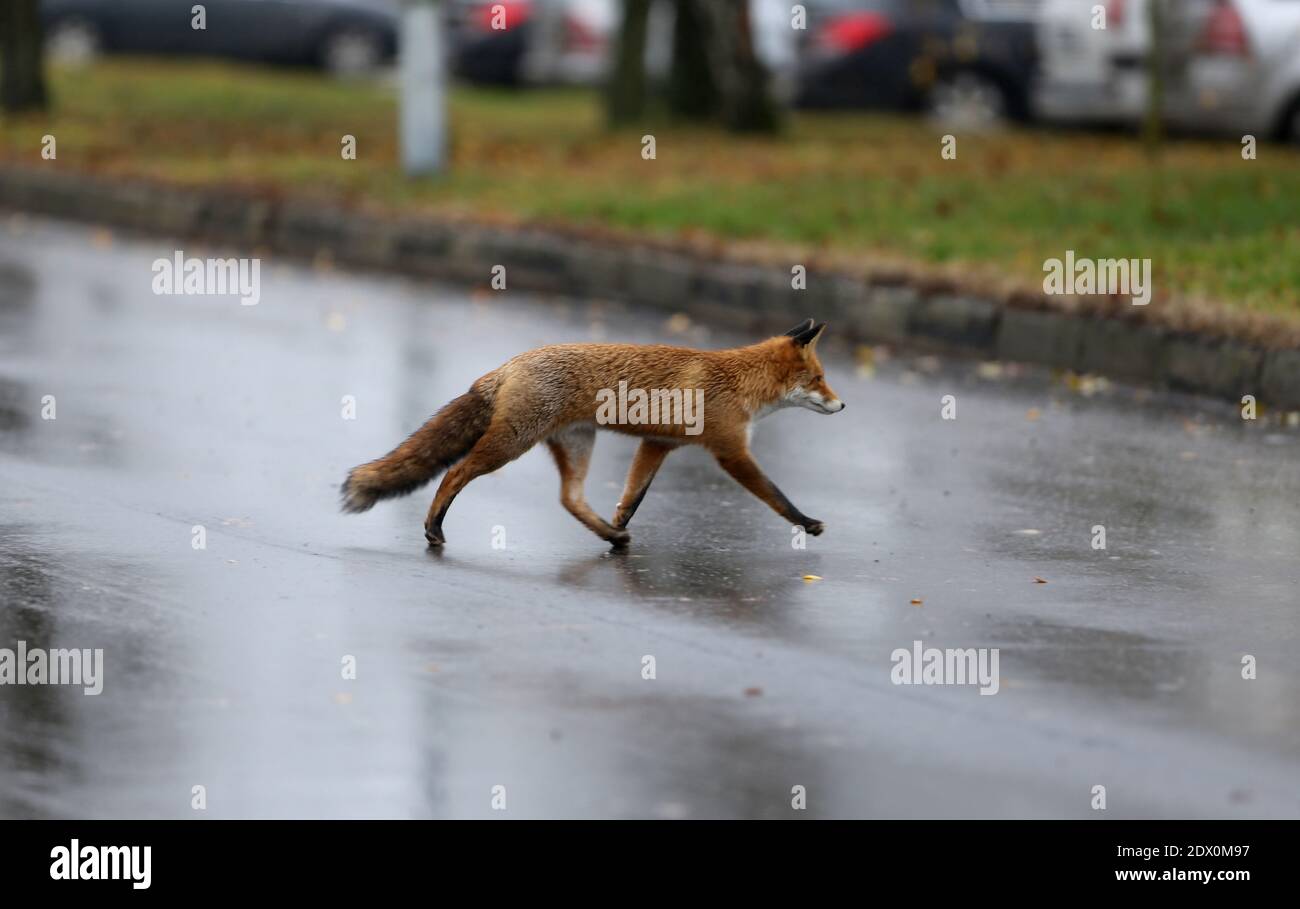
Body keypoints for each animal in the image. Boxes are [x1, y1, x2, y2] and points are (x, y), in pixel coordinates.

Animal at [340, 318, 845, 548]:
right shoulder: (730, 452)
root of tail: (509, 363)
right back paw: (433, 528)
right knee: (454, 473)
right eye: (820, 379)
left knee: (570, 498)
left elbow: (633, 496)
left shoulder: (659, 443)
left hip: (576, 445)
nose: (843, 405)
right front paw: (807, 523)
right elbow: (775, 496)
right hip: (511, 444)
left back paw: (610, 536)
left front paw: (619, 524)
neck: (738, 380)